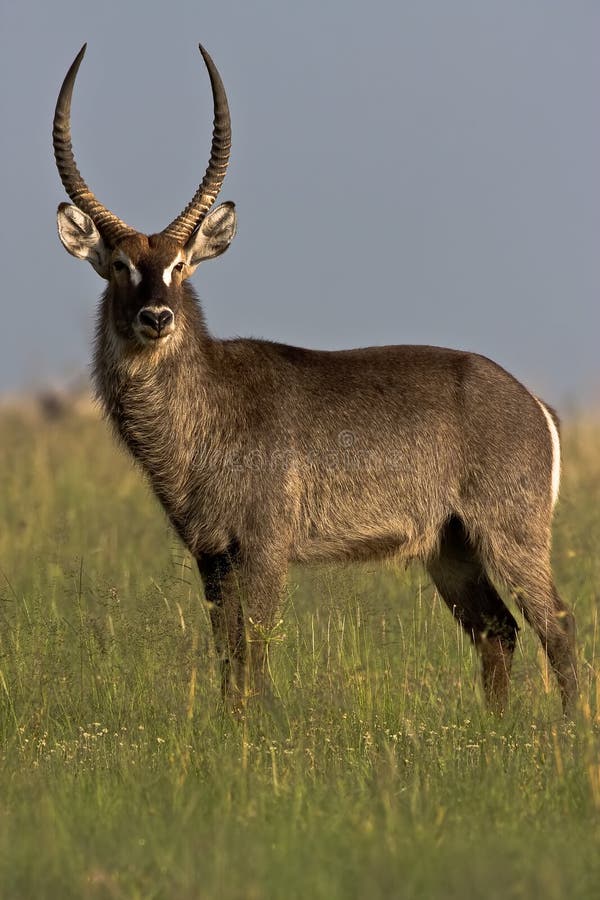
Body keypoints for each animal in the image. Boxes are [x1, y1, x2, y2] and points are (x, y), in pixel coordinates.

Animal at [55, 45, 576, 712]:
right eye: (120, 265)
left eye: (180, 265)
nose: (157, 316)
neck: (204, 409)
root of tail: (533, 401)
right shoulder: (211, 555)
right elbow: (227, 657)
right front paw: (230, 727)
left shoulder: (264, 546)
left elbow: (253, 654)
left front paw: (253, 731)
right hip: (451, 544)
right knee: (499, 629)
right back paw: (498, 729)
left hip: (511, 530)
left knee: (556, 624)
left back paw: (564, 731)